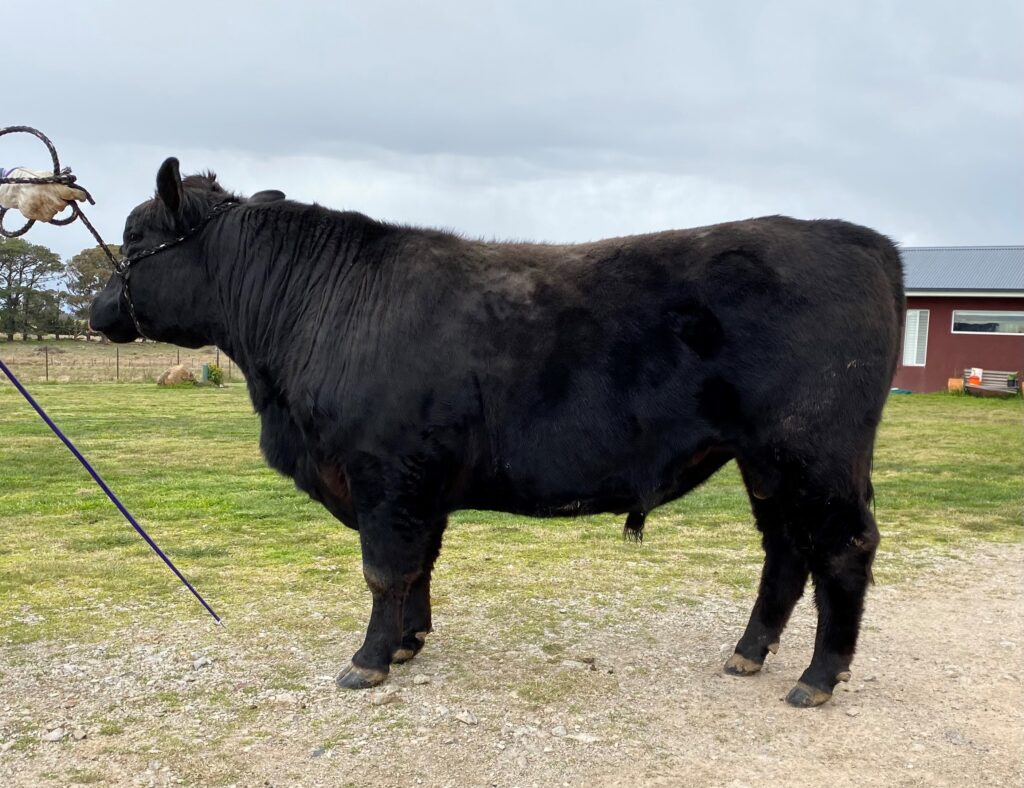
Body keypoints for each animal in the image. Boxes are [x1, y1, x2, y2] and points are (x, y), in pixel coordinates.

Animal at [90, 158, 904, 707]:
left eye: (133, 235)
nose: (99, 310)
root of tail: (860, 240)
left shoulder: (386, 474)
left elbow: (384, 569)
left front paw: (368, 660)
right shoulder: (419, 486)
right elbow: (418, 566)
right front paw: (409, 643)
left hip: (812, 450)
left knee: (843, 547)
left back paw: (818, 677)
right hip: (766, 463)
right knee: (785, 549)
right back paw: (749, 653)